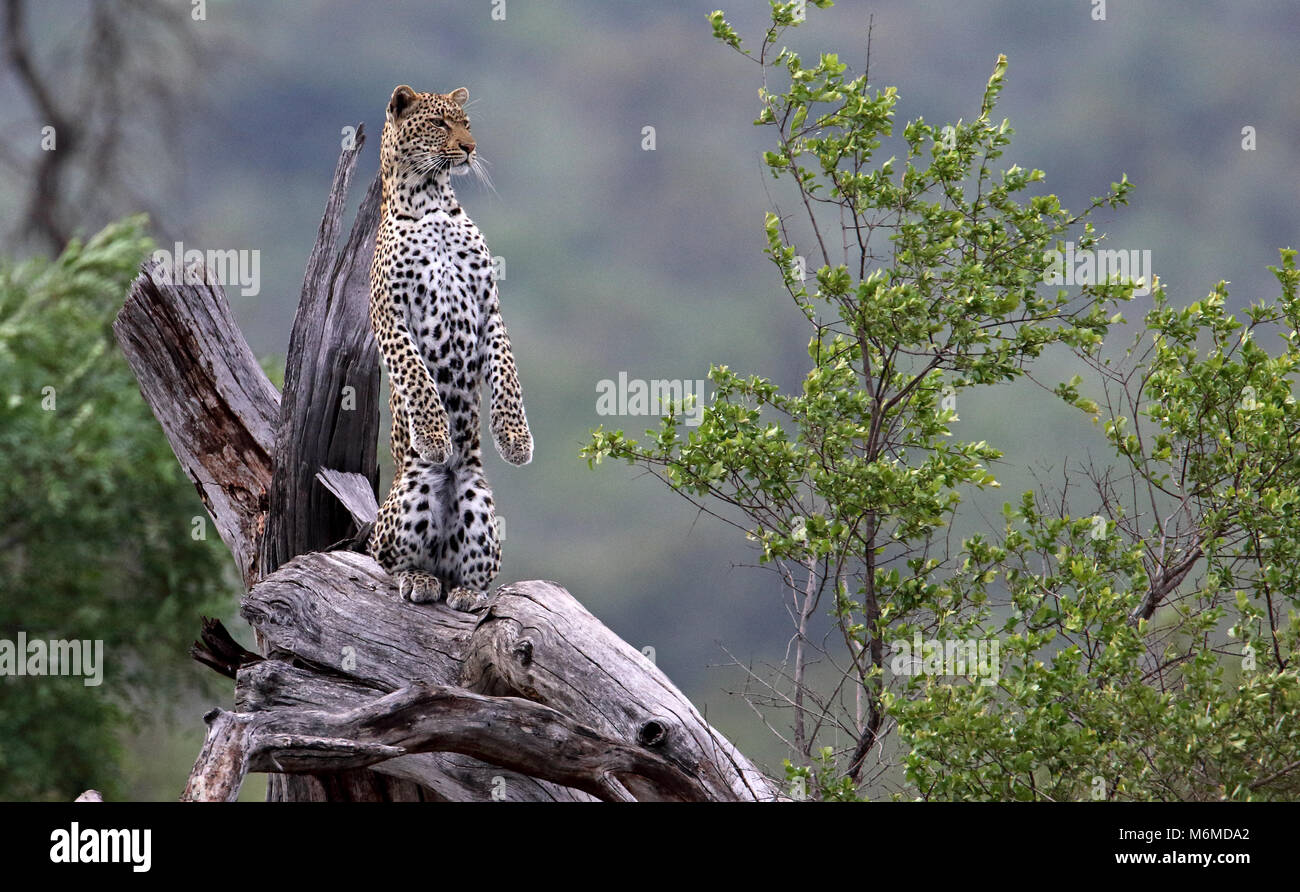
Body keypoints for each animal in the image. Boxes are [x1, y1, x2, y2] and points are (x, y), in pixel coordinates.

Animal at [367, 84, 532, 613]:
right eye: (439, 124)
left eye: (465, 122)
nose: (470, 148)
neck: (432, 199)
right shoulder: (390, 315)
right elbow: (416, 375)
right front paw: (437, 437)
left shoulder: (488, 306)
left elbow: (507, 373)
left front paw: (515, 440)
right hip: (410, 496)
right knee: (386, 560)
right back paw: (418, 580)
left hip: (480, 506)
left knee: (469, 573)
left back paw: (468, 593)